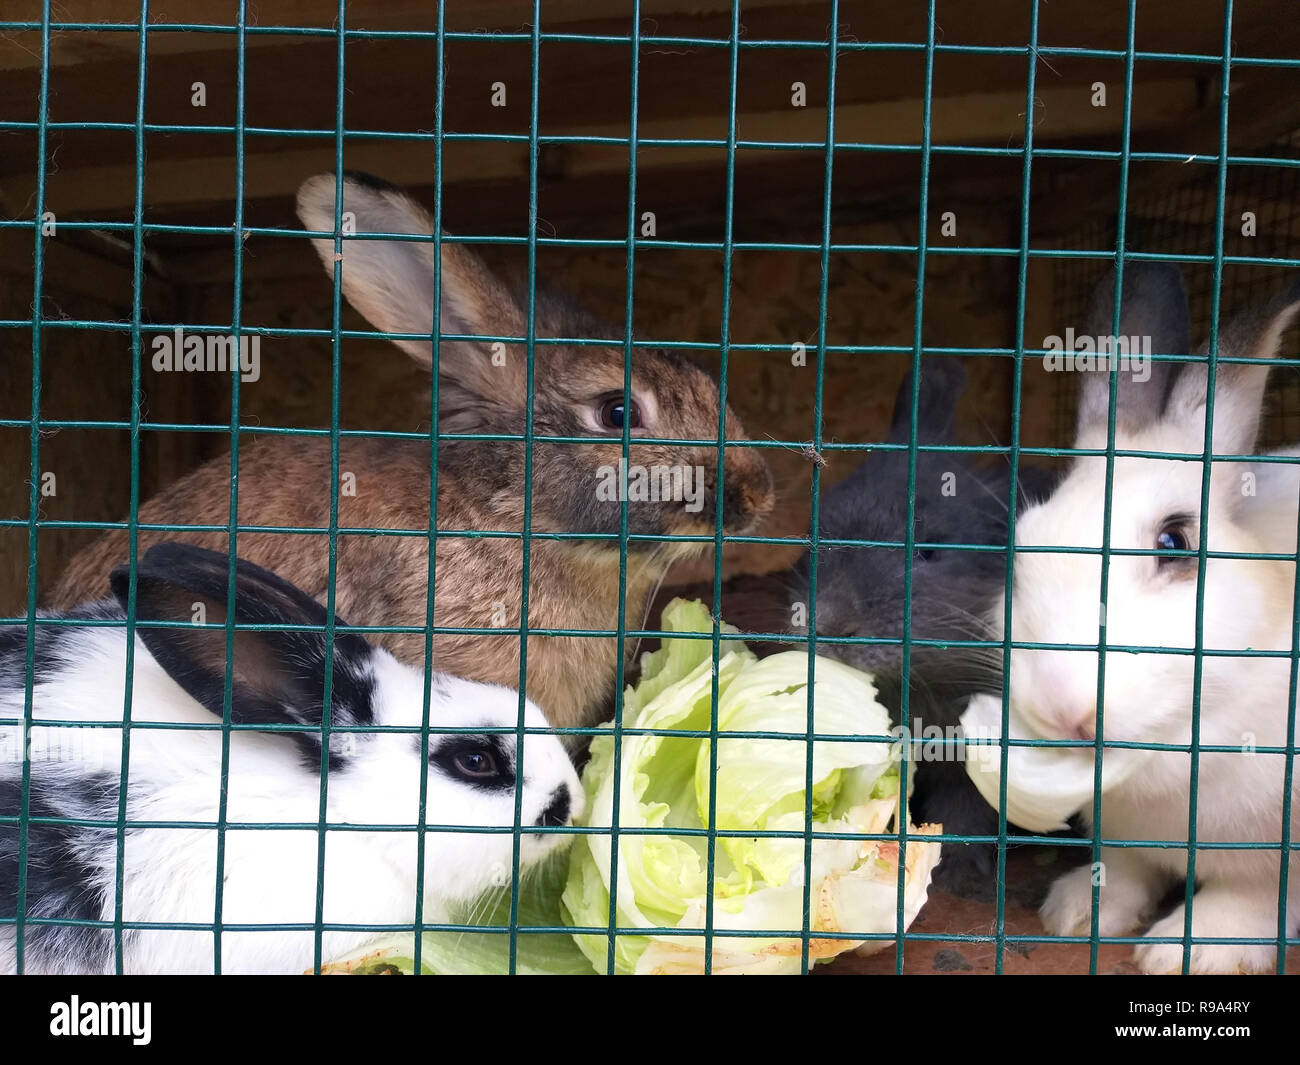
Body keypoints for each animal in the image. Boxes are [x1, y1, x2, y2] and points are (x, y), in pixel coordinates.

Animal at [996, 261, 1300, 973]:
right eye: (1021, 547)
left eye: (1174, 542)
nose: (1061, 706)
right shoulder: (1127, 842)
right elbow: (1126, 872)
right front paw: (1075, 914)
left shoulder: (1276, 862)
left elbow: (1252, 899)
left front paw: (1191, 952)